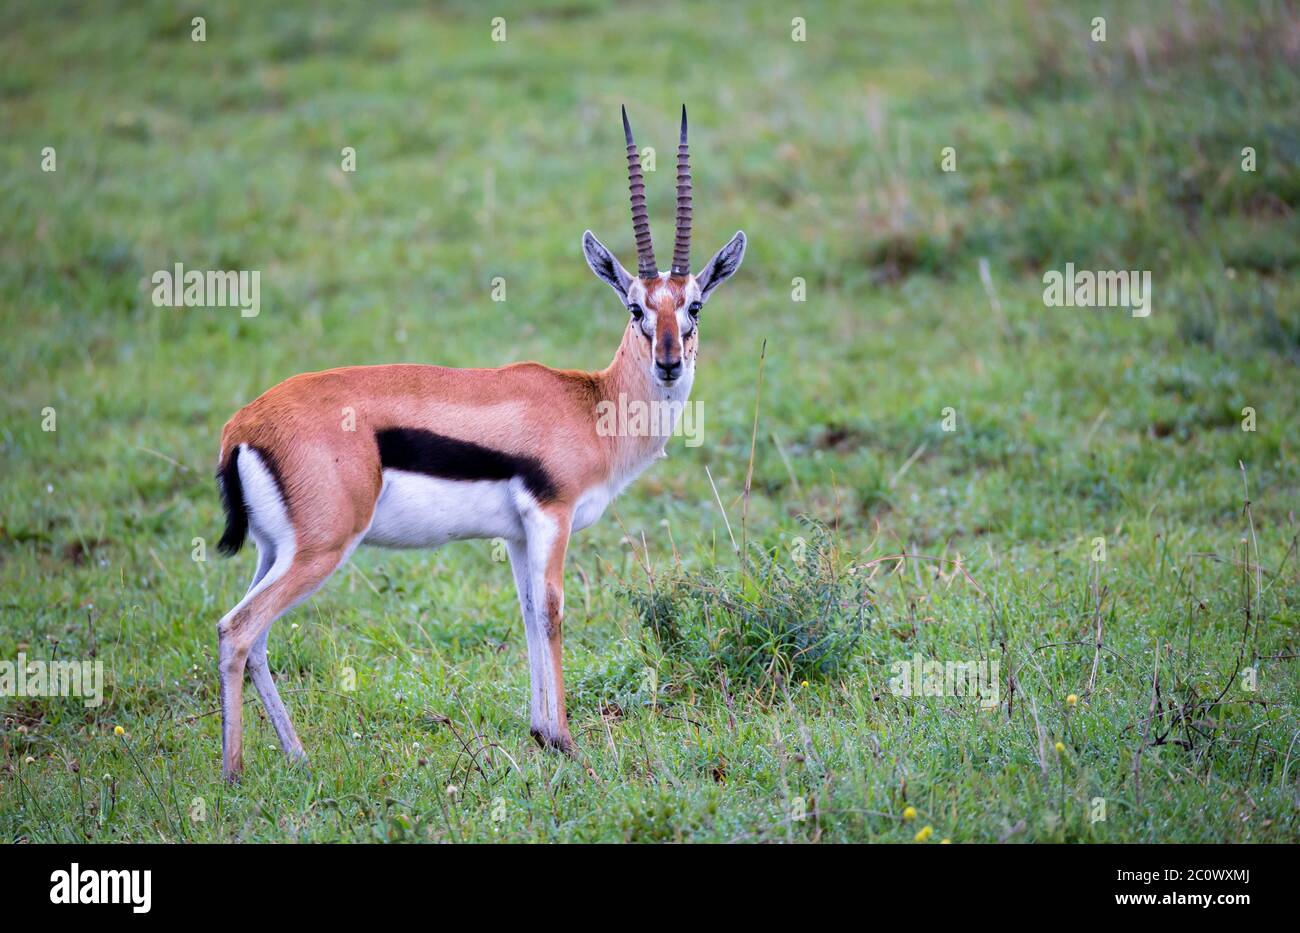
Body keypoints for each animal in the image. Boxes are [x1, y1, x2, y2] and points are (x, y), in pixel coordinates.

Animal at [213, 106, 746, 781]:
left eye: (694, 306)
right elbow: (552, 611)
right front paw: (566, 741)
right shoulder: (552, 516)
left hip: (272, 551)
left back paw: (298, 757)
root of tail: (244, 425)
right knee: (237, 629)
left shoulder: (517, 534)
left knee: (254, 636)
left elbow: (526, 611)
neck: (591, 404)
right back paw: (233, 774)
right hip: (321, 548)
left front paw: (543, 734)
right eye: (635, 308)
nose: (670, 363)